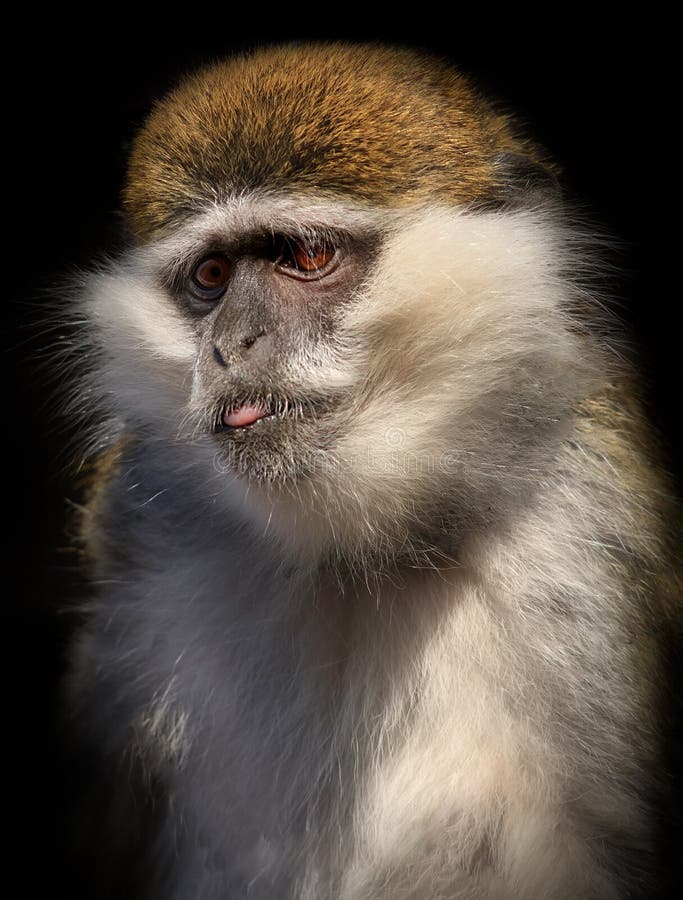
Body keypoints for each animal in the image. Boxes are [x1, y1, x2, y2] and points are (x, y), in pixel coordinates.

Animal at [61, 42, 682, 899]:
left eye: (306, 256)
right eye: (211, 276)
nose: (229, 347)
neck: (360, 557)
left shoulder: (596, 524)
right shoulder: (134, 526)